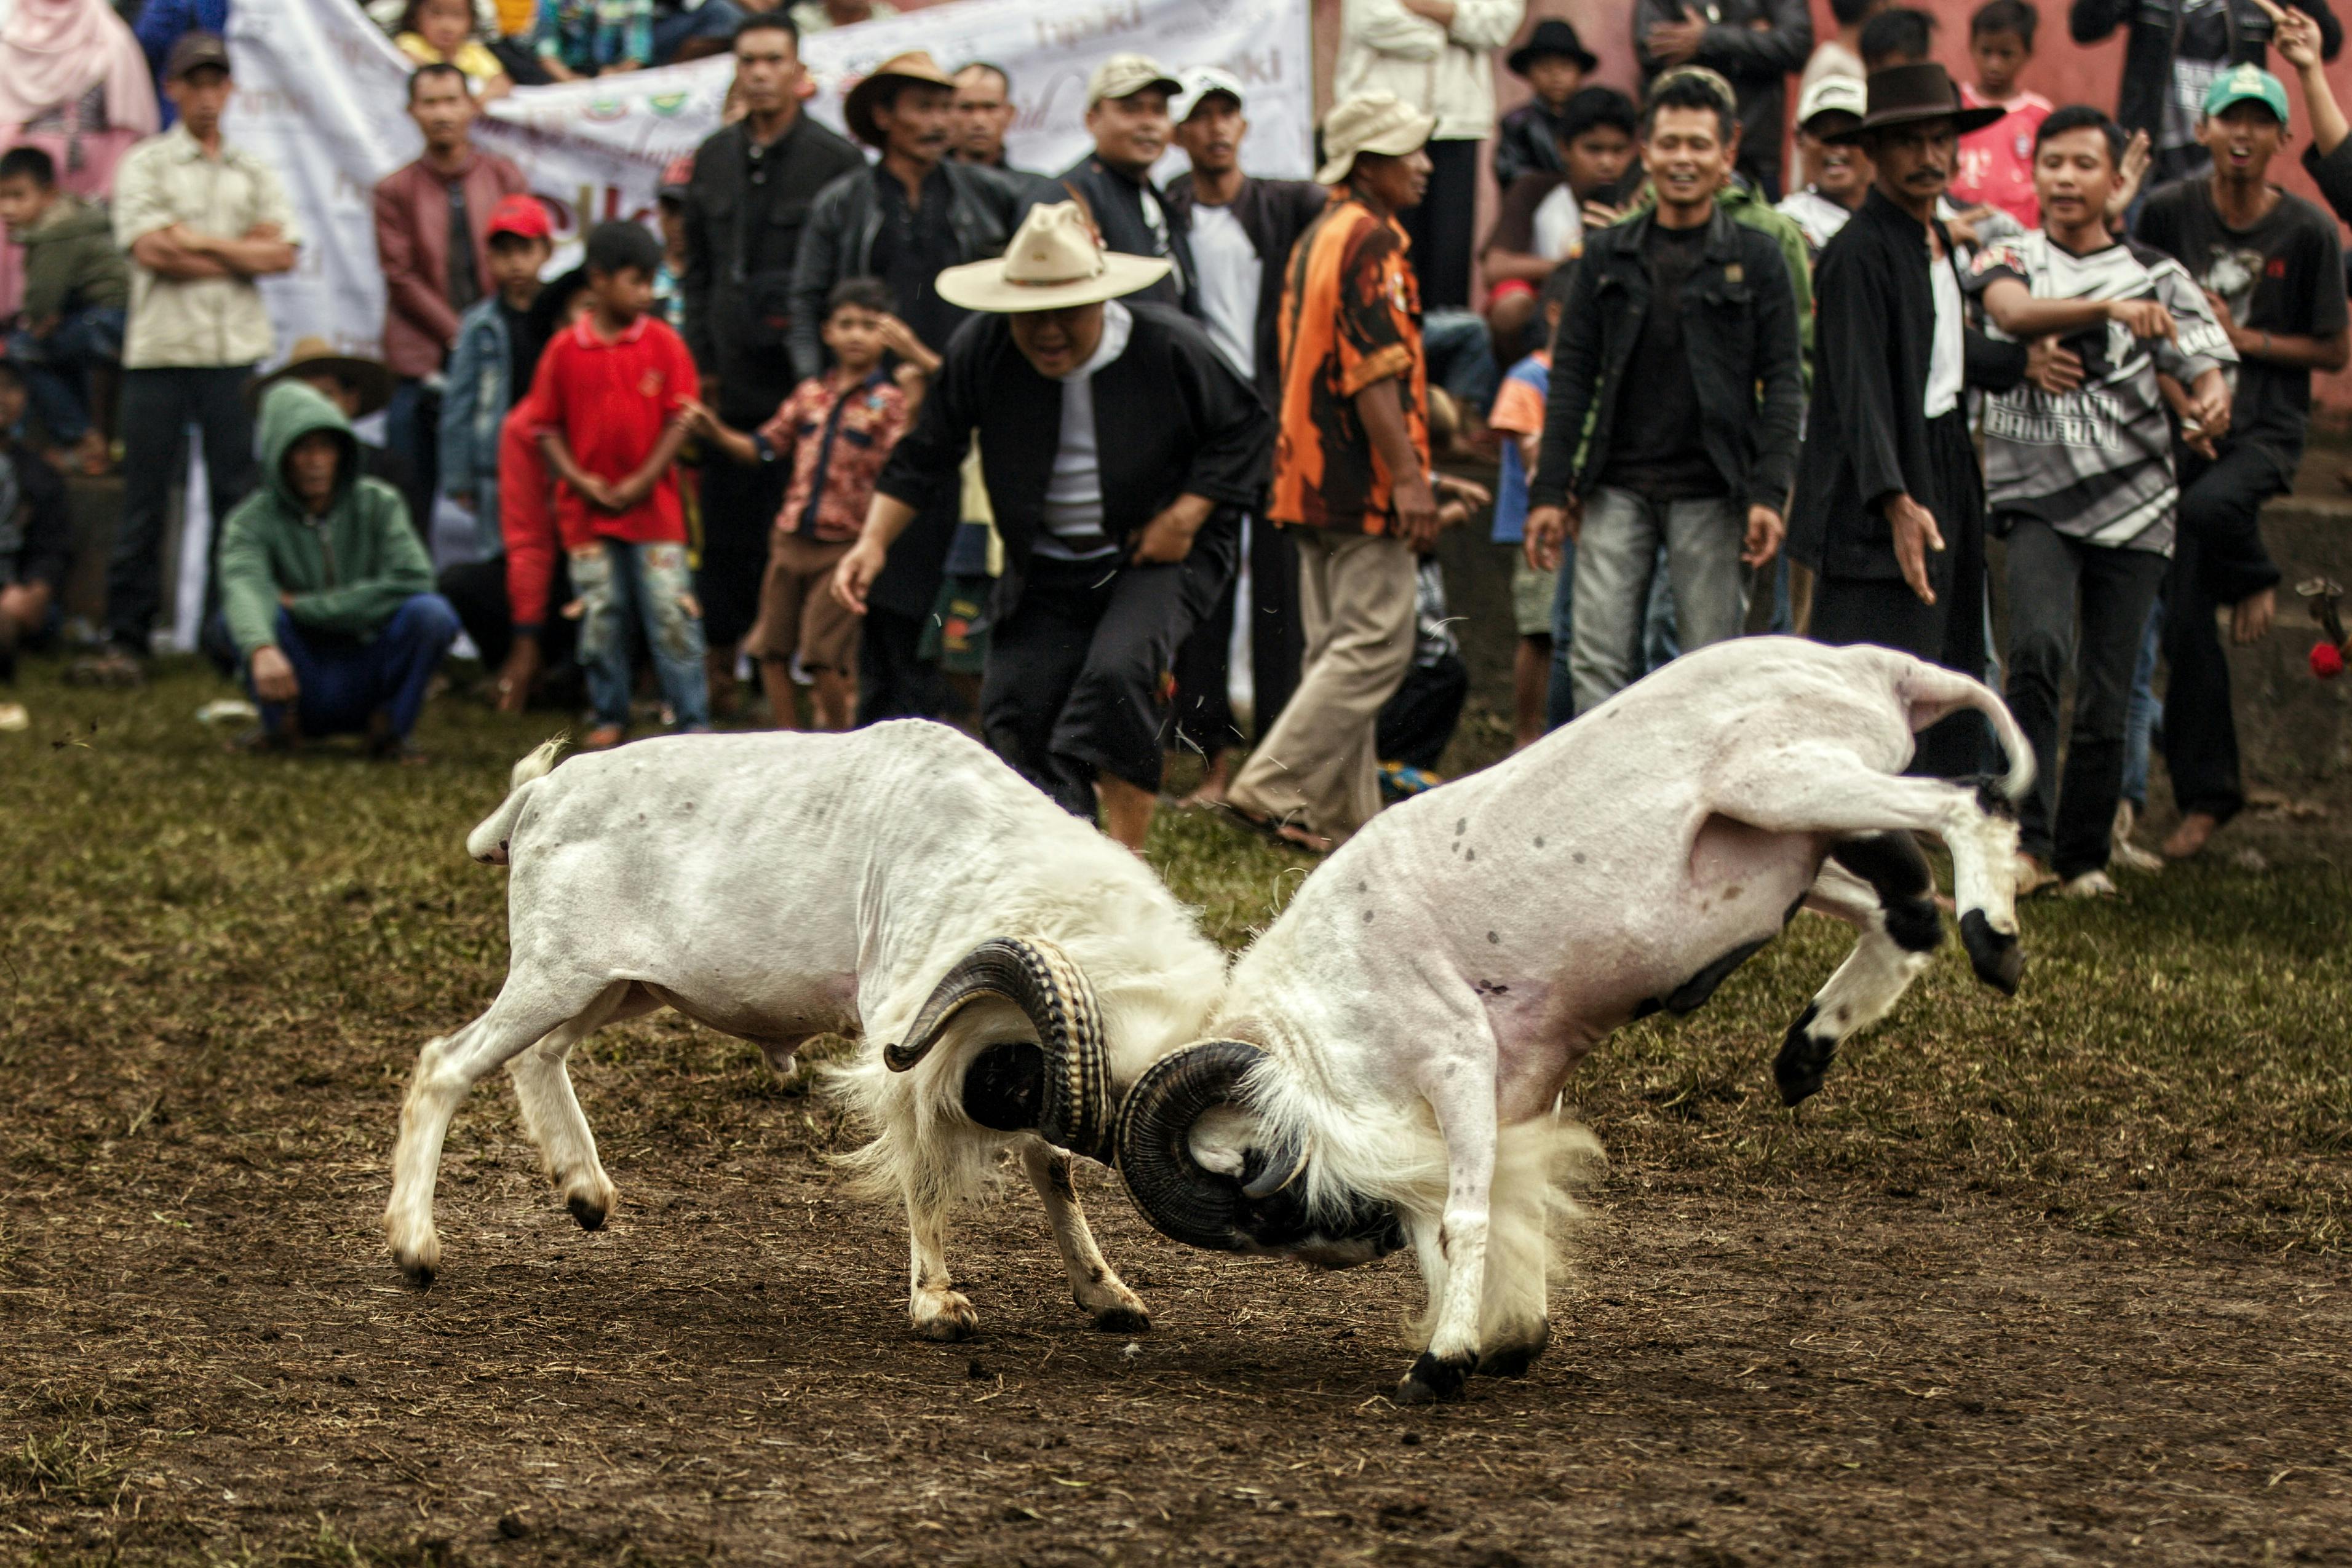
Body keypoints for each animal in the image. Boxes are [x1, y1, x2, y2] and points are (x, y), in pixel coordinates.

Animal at [384, 721, 1229, 1339]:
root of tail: (539, 793)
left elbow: (1051, 1168)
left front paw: (1107, 1294)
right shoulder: (912, 1038)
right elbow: (926, 1167)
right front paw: (938, 1306)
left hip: (612, 985)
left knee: (537, 1059)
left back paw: (585, 1194)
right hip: (555, 971)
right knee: (445, 1065)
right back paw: (415, 1248)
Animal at [1109, 638, 2033, 1404]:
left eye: (1254, 1189)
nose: (1355, 1241)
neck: (1325, 1014)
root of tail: (1869, 665)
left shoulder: (1457, 1061)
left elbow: (1462, 1216)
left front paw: (1440, 1363)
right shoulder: (1523, 1080)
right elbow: (1499, 1206)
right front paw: (1507, 1338)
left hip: (1778, 781)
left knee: (1968, 804)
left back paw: (1994, 938)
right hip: (1801, 839)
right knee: (1903, 909)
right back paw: (1809, 1047)